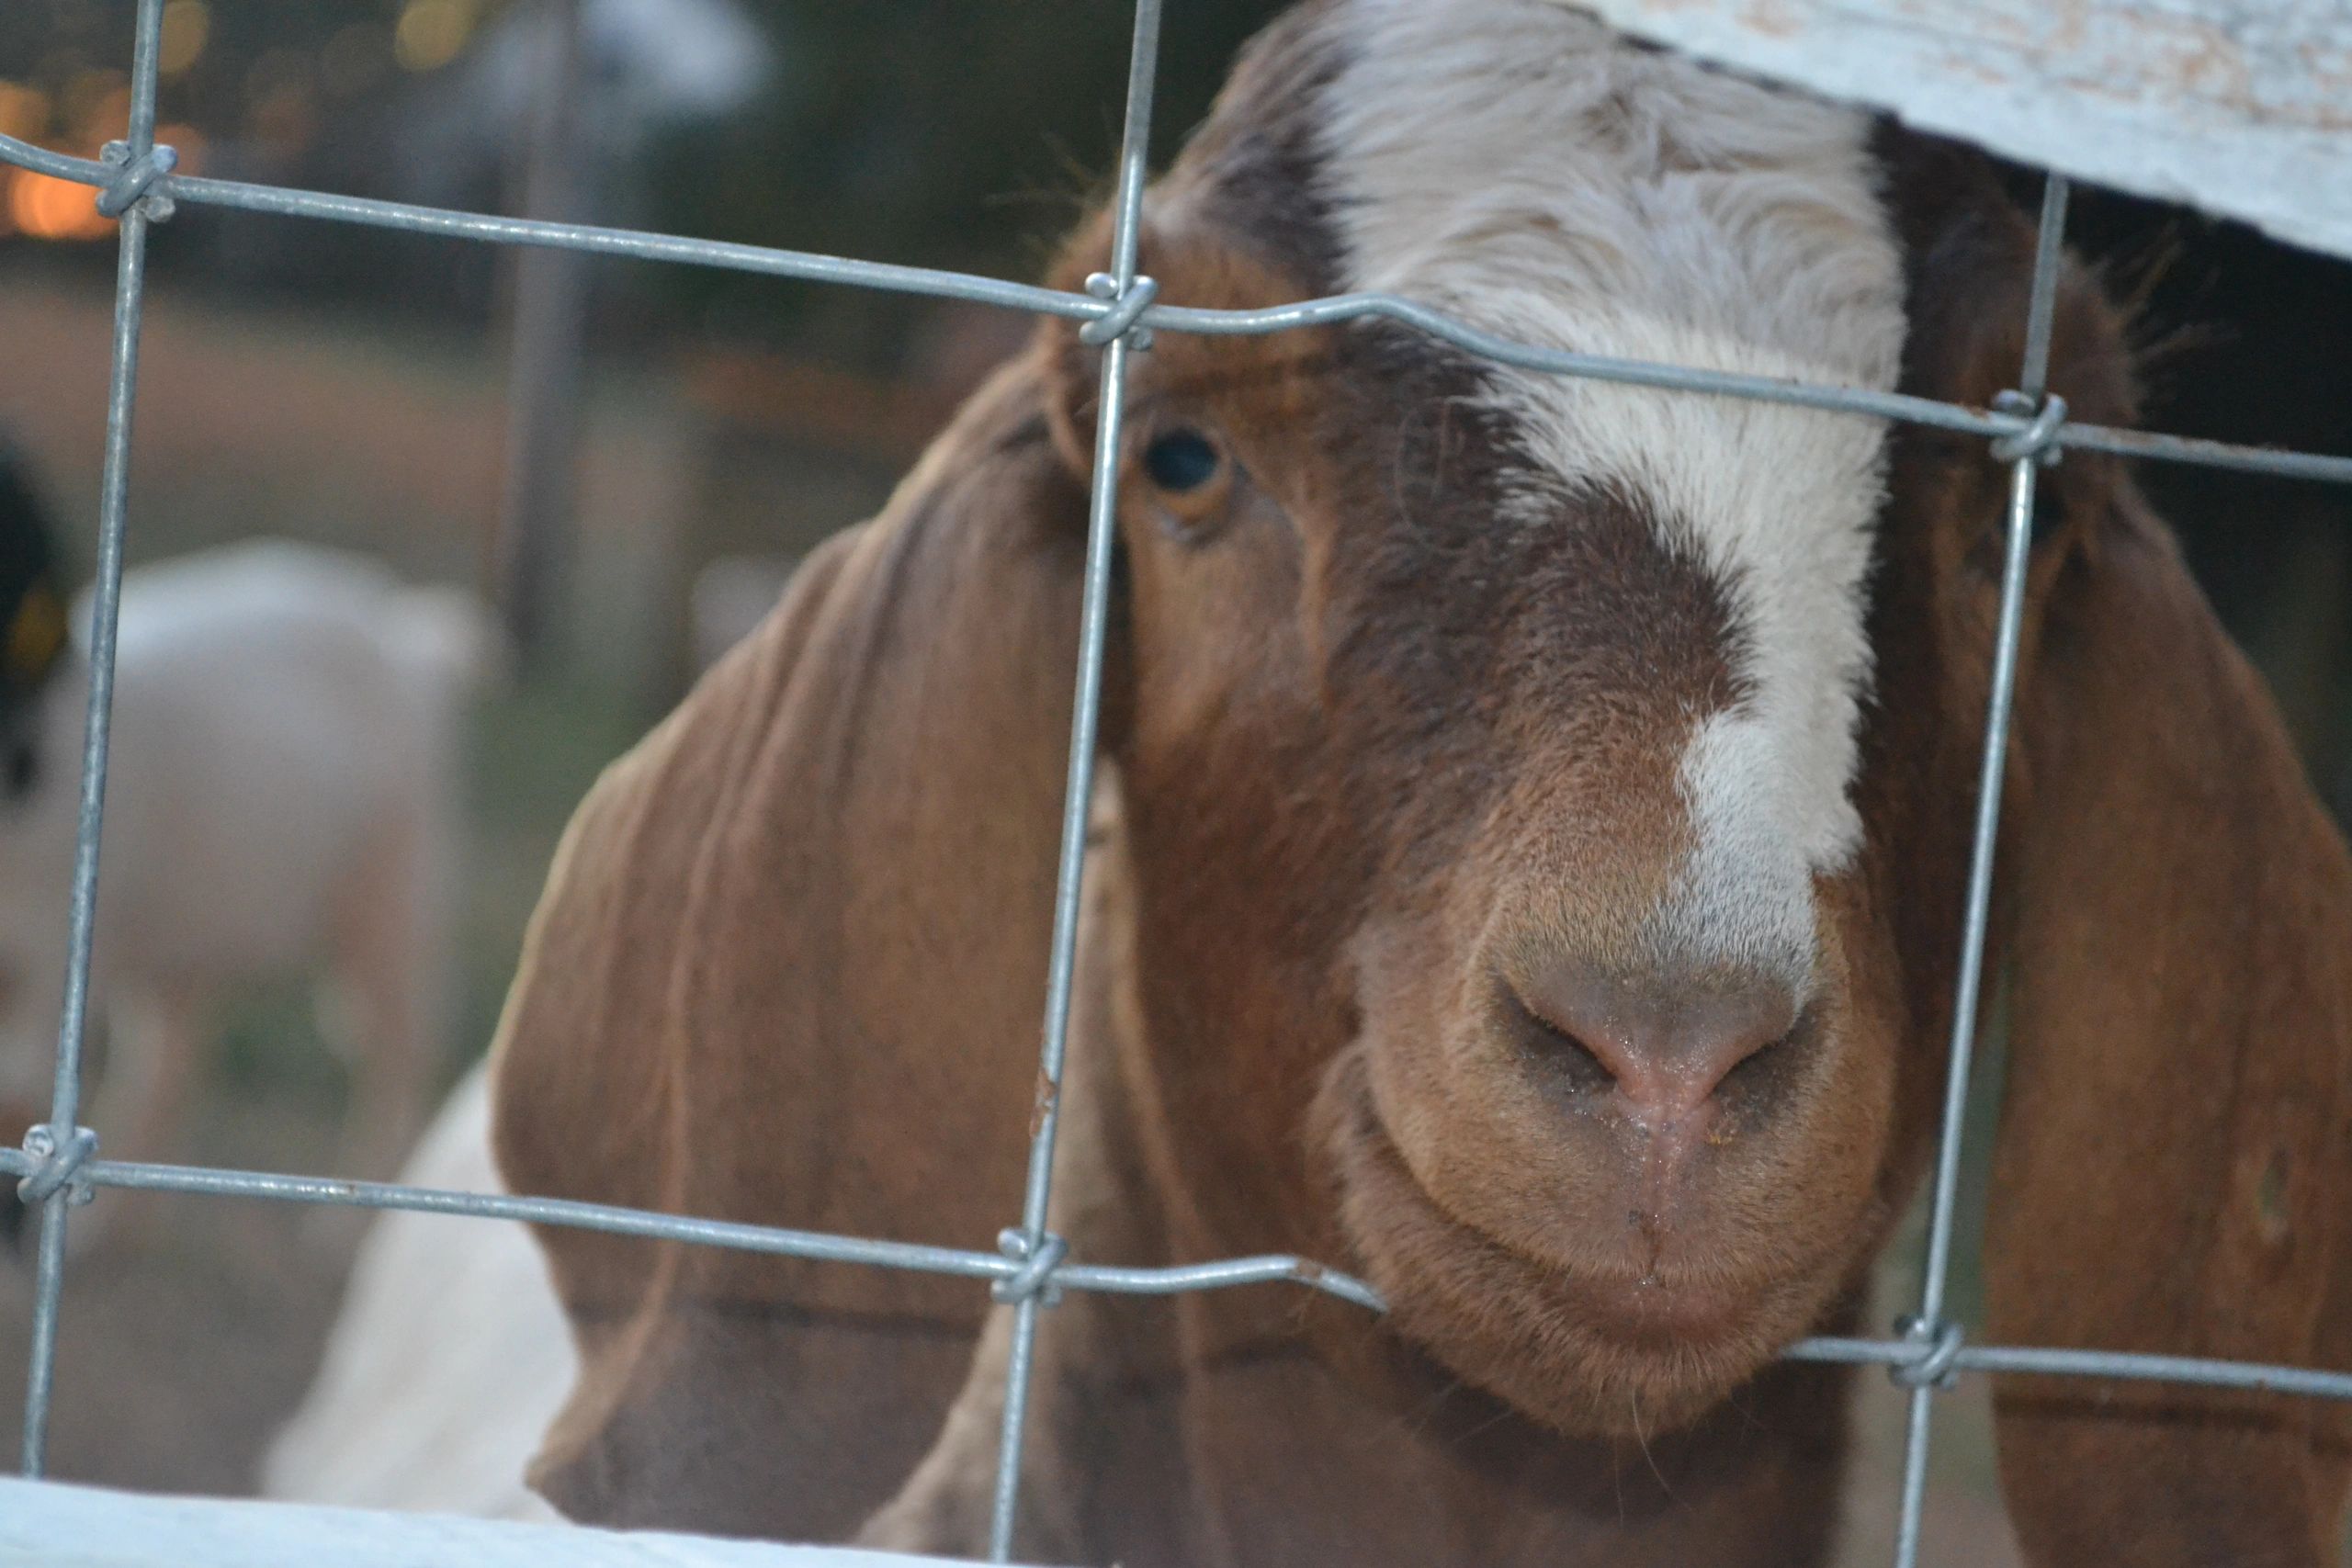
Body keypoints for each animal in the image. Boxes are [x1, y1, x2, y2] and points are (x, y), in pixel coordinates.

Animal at [0, 476, 492, 1243]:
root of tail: (411, 628)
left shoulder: (50, 954)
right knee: (172, 1060)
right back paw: (120, 1227)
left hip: (400, 882)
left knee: (397, 1047)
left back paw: (348, 1228)